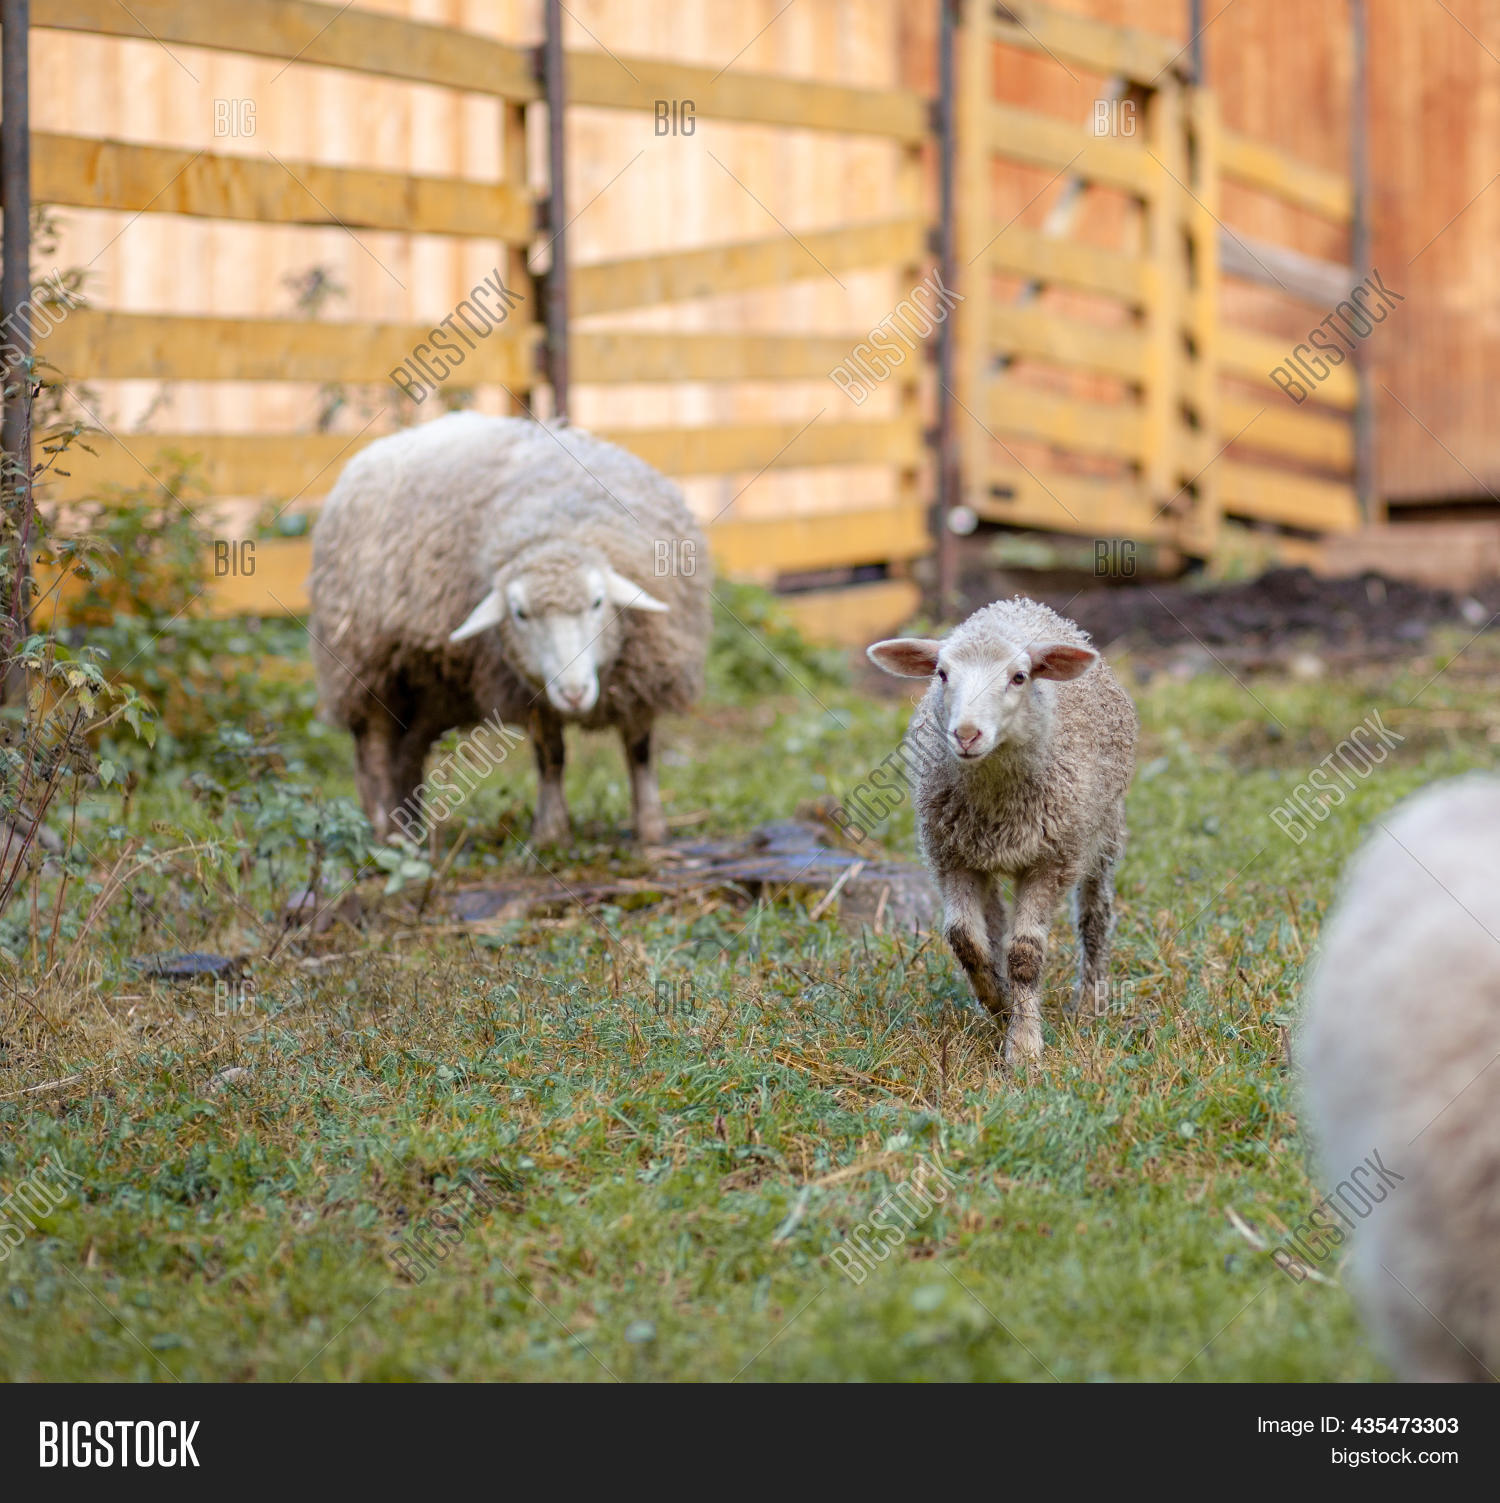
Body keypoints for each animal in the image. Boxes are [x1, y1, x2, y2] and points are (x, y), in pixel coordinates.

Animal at [308, 412, 711, 847]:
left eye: (598, 602)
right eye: (519, 614)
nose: (573, 693)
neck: (559, 523)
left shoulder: (643, 676)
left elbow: (640, 752)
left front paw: (652, 830)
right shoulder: (528, 688)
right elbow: (551, 755)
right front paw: (552, 833)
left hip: (431, 685)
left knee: (408, 753)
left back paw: (411, 832)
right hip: (365, 664)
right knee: (375, 750)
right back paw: (385, 832)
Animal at [867, 597, 1137, 1066]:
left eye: (1019, 677)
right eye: (942, 674)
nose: (966, 734)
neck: (997, 797)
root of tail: (1018, 604)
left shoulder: (1052, 861)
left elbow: (1025, 953)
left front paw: (1024, 1048)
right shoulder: (950, 856)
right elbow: (965, 940)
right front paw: (997, 1001)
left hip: (1102, 829)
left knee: (1095, 915)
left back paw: (1091, 1002)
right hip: (981, 854)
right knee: (991, 924)